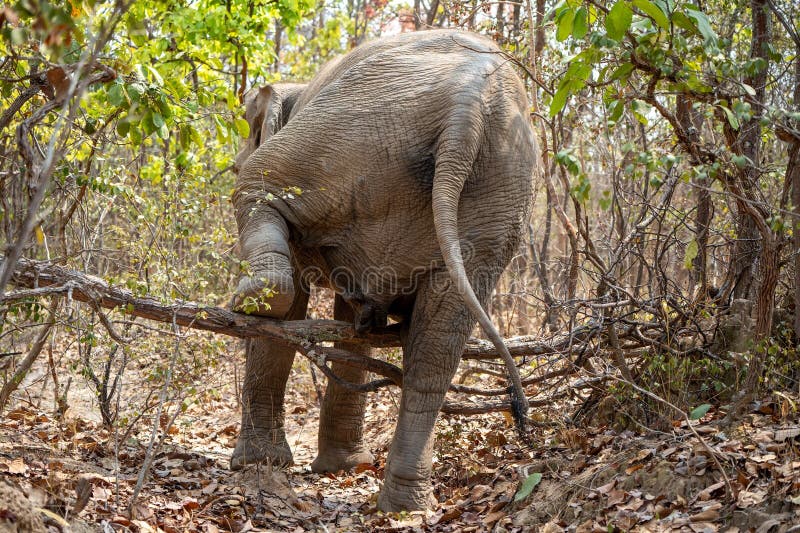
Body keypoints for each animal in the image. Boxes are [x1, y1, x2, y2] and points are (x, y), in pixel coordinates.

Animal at [229, 29, 538, 511]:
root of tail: (469, 103)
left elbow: (296, 310)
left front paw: (257, 465)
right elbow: (354, 322)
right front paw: (341, 468)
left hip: (344, 136)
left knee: (258, 186)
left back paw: (253, 298)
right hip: (496, 195)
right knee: (436, 348)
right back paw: (406, 505)